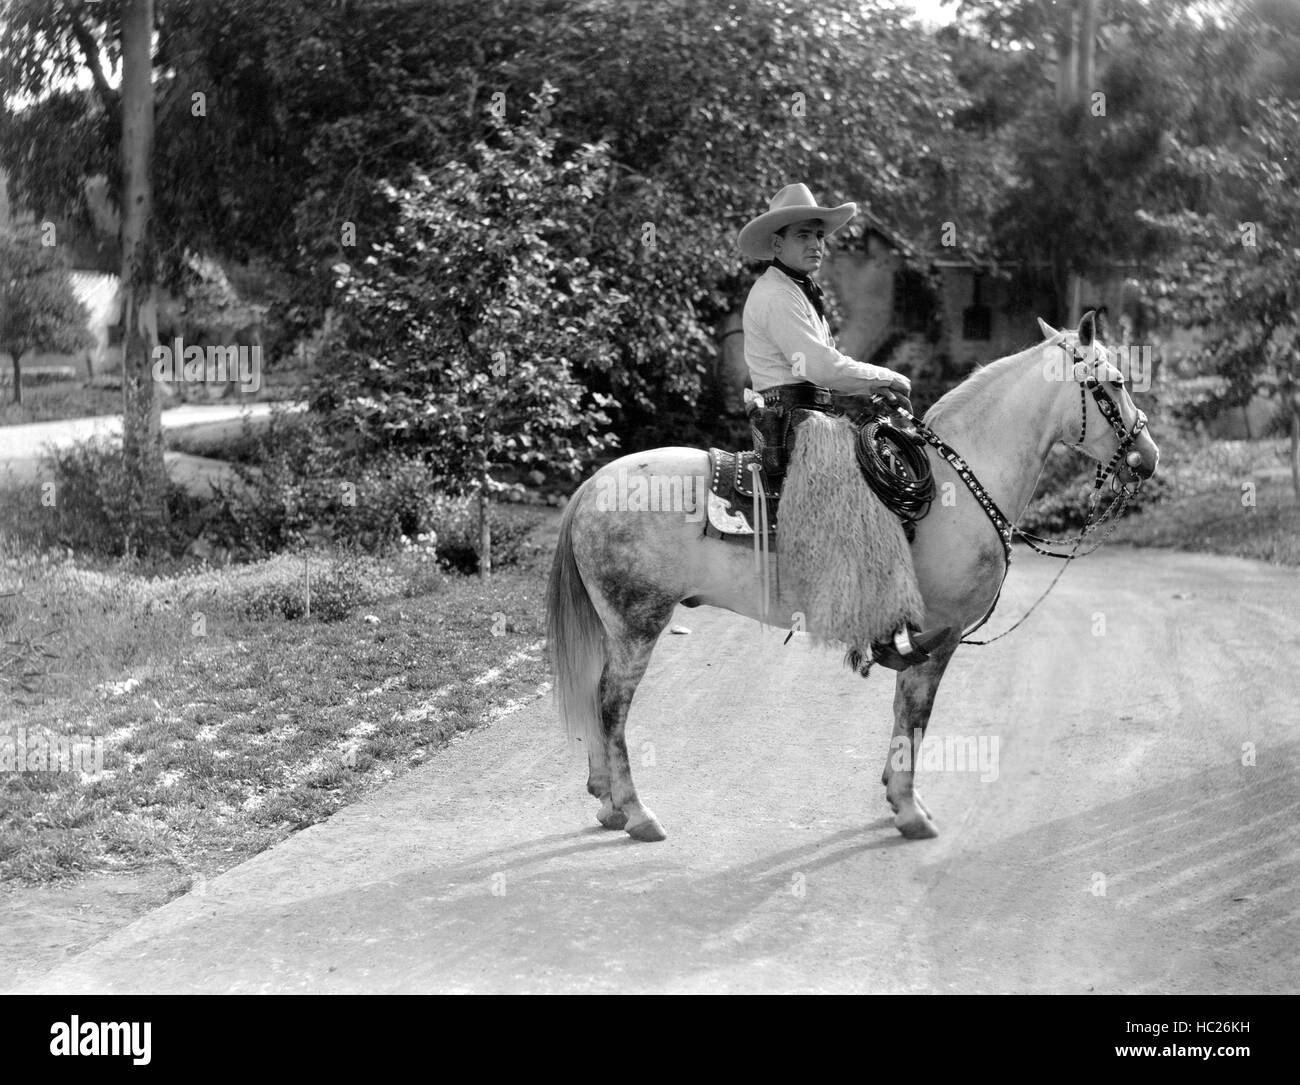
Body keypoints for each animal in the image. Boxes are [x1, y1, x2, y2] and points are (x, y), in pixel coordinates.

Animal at [545, 312, 1161, 842]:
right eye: (1114, 382)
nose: (1149, 457)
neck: (953, 486)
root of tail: (592, 485)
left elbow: (902, 712)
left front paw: (899, 795)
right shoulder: (939, 635)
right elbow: (915, 716)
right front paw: (909, 810)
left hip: (615, 626)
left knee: (599, 698)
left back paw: (606, 800)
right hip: (638, 624)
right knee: (611, 705)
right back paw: (636, 812)